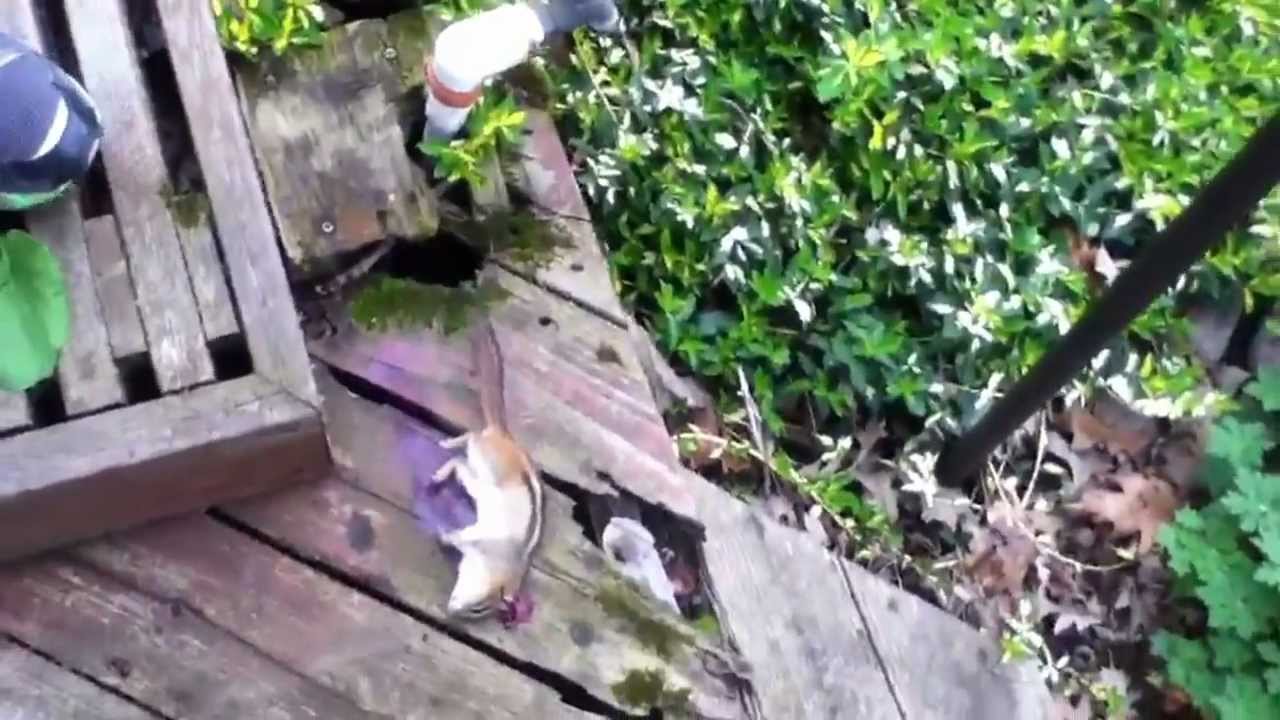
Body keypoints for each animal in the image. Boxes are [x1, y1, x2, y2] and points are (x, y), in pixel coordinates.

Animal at [430, 317, 545, 626]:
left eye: (477, 611)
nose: (452, 612)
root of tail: (503, 435)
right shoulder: (480, 541)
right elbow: (461, 537)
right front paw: (445, 536)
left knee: (461, 460)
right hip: (485, 467)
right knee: (467, 443)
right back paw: (446, 453)